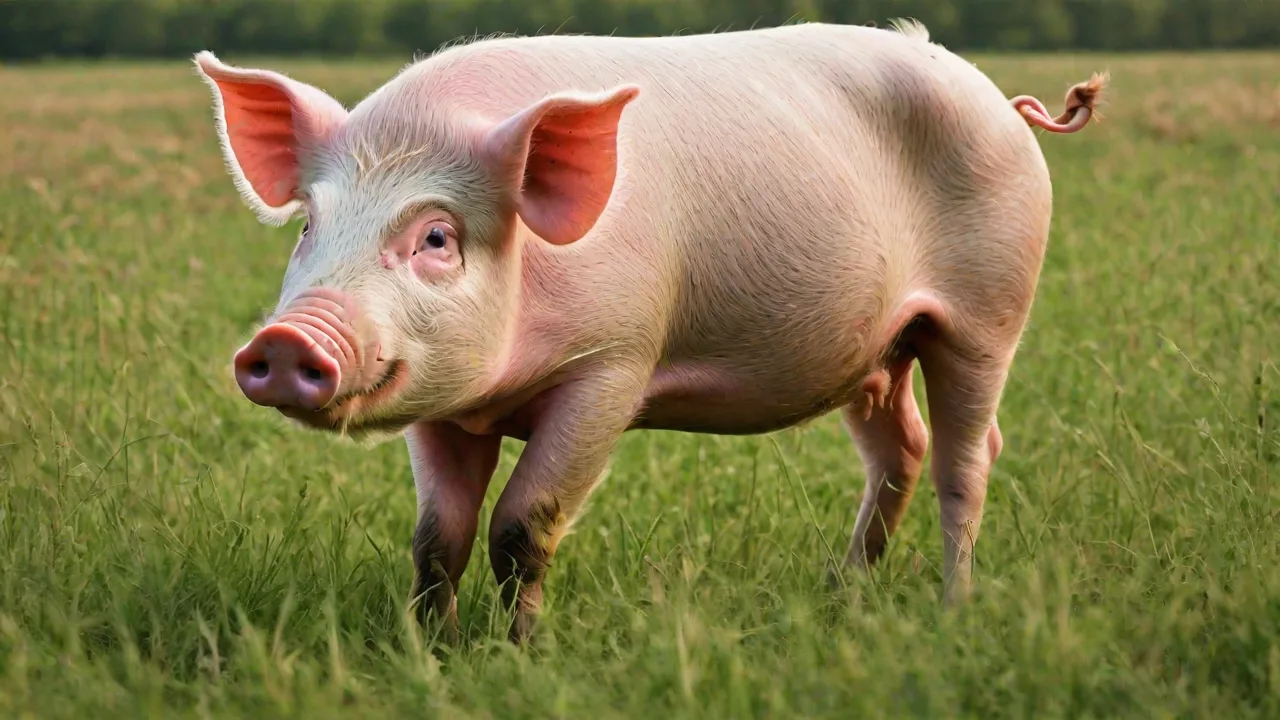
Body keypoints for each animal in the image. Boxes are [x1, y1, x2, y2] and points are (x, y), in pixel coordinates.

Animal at [194, 19, 1105, 643]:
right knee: (901, 450)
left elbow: (523, 522)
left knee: (967, 458)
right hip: (876, 347)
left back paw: (954, 608)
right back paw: (843, 594)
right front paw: (433, 652)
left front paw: (522, 653)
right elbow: (436, 538)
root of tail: (999, 100)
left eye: (437, 238)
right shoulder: (445, 405)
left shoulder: (613, 363)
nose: (286, 342)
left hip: (988, 311)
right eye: (309, 225)